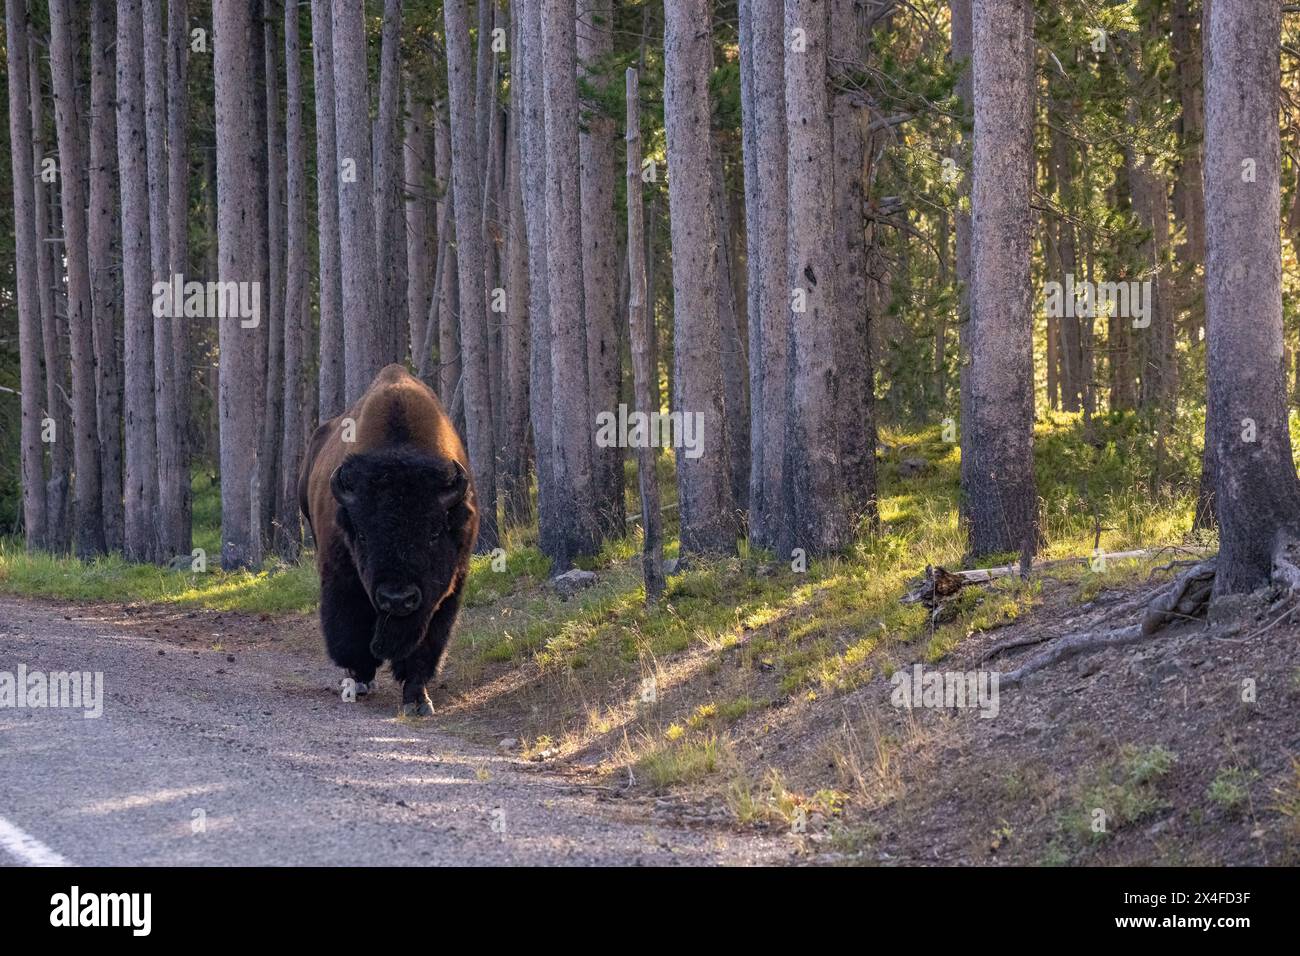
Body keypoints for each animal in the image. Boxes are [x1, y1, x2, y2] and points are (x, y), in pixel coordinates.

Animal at [299, 364, 478, 716]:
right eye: (363, 535)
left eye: (434, 533)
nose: (397, 598)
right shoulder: (342, 579)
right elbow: (349, 632)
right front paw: (359, 681)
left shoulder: (446, 592)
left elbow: (424, 645)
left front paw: (418, 700)